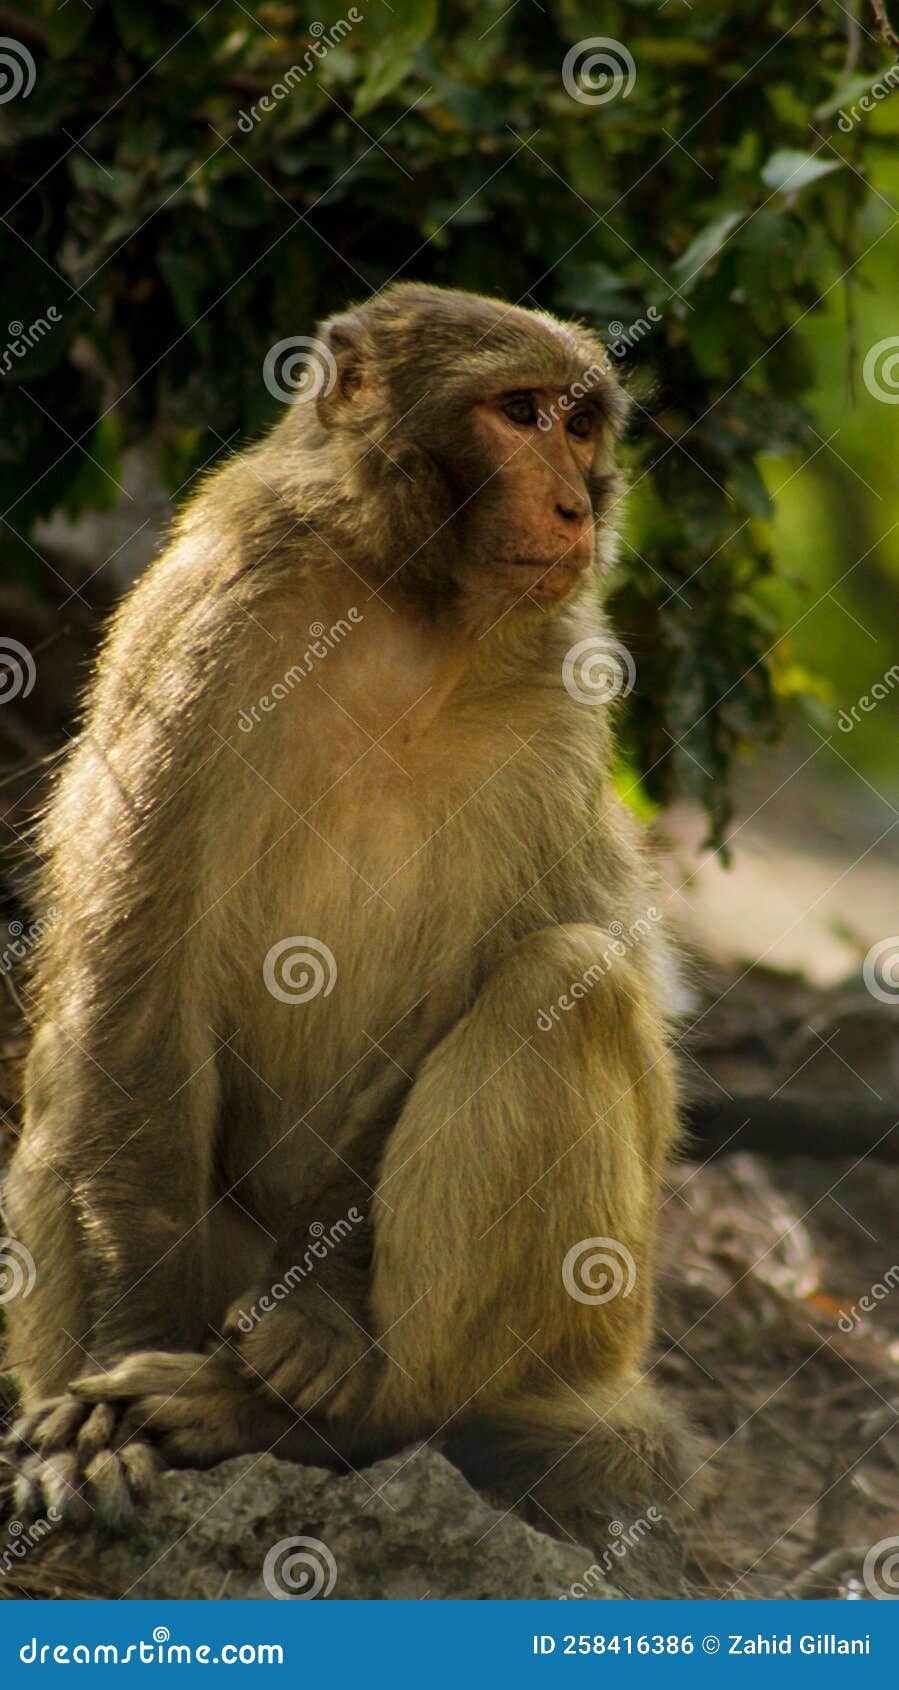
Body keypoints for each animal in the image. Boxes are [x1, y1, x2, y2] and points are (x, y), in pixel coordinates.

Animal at [2, 282, 701, 1546]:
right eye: (518, 414)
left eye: (579, 423)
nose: (574, 504)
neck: (405, 611)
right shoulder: (215, 609)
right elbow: (133, 960)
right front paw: (123, 1356)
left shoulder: (556, 697)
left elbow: (485, 976)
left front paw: (321, 1323)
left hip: (581, 1333)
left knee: (562, 982)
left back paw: (319, 1411)